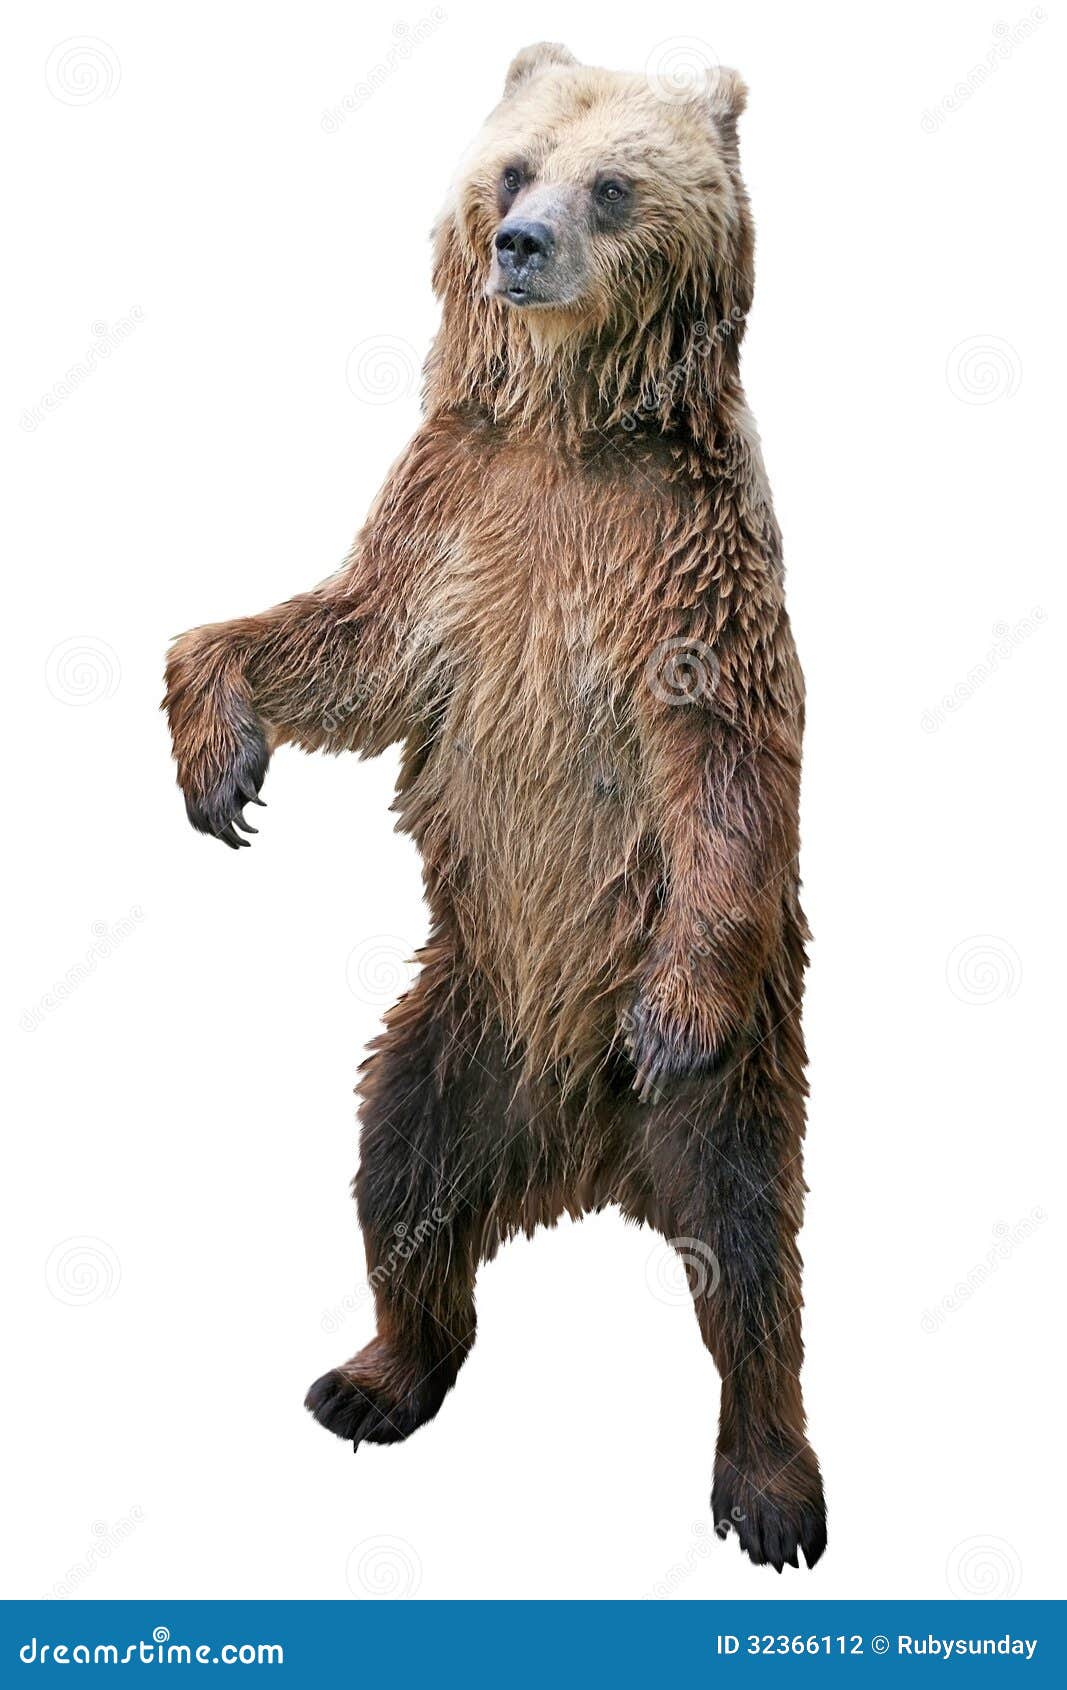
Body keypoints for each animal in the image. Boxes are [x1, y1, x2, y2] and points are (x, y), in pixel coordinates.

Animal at [164, 43, 826, 1572]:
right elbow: (348, 649)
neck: (570, 430)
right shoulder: (452, 517)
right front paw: (219, 758)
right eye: (513, 167)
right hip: (450, 1025)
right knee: (396, 1182)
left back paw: (770, 1485)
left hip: (737, 1074)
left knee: (750, 1255)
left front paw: (667, 1013)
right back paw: (371, 1376)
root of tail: (580, 1162)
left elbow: (721, 763)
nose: (519, 244)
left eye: (614, 183)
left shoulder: (688, 566)